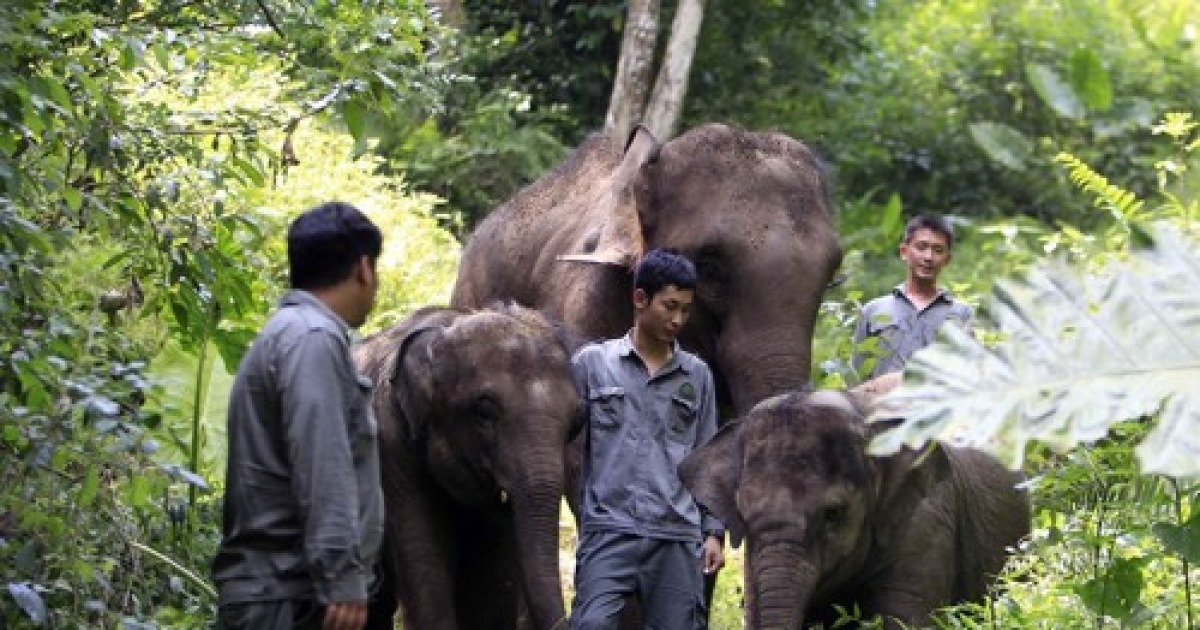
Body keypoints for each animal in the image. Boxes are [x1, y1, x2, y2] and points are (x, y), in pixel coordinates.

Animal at [353, 303, 584, 630]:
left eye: (578, 421)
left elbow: (490, 583)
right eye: (484, 410)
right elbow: (426, 559)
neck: (445, 327)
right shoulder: (389, 445)